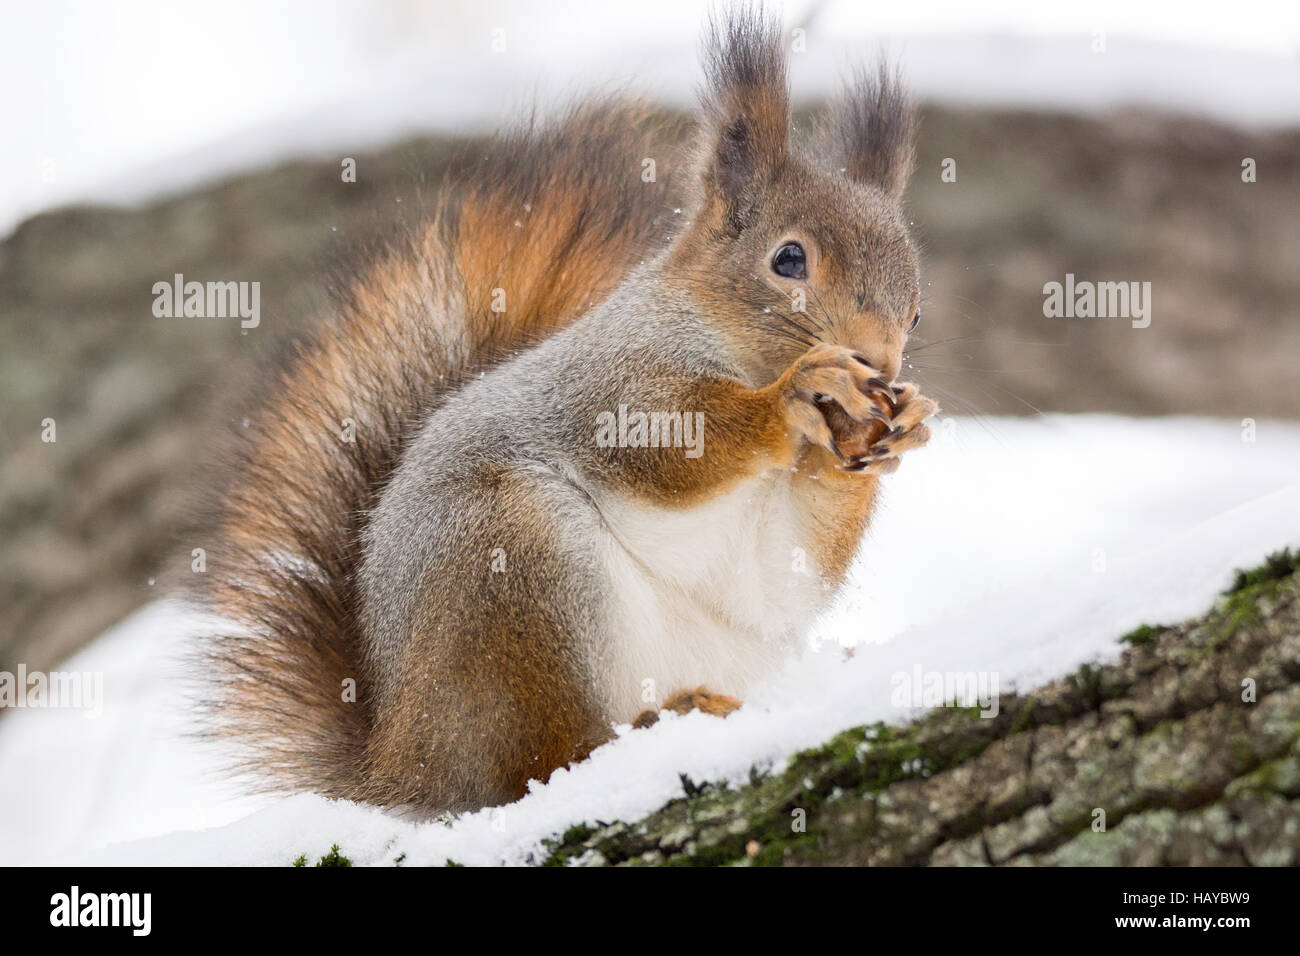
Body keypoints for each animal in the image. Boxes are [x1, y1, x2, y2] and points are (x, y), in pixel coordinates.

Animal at [199, 8, 937, 814]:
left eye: (916, 306)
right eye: (790, 260)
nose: (882, 362)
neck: (736, 353)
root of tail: (405, 761)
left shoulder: (777, 538)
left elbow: (794, 560)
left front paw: (901, 428)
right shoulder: (610, 385)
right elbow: (667, 448)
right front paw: (798, 395)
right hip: (512, 563)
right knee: (539, 764)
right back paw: (653, 723)